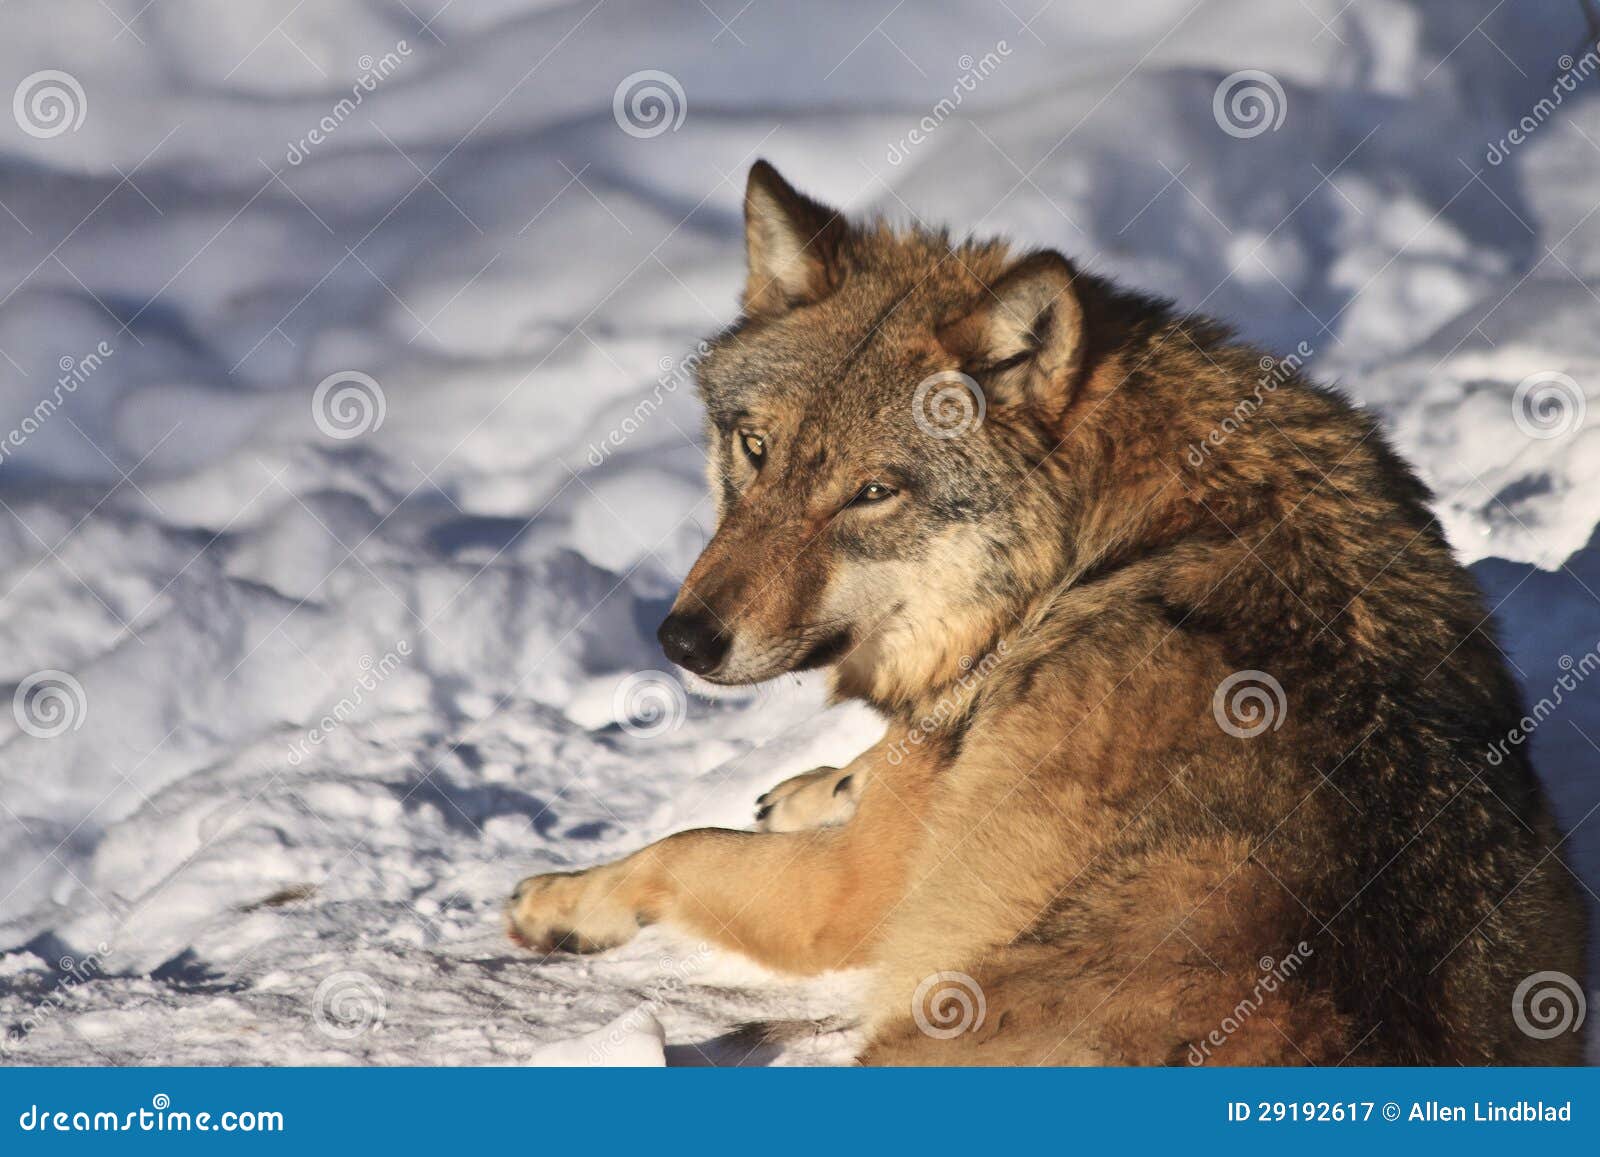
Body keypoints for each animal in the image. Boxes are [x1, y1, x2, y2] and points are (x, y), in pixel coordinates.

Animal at [509, 161, 1588, 1065]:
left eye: (870, 494)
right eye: (755, 449)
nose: (681, 639)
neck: (1099, 539)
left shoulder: (849, 892)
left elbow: (682, 846)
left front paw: (559, 898)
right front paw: (830, 777)